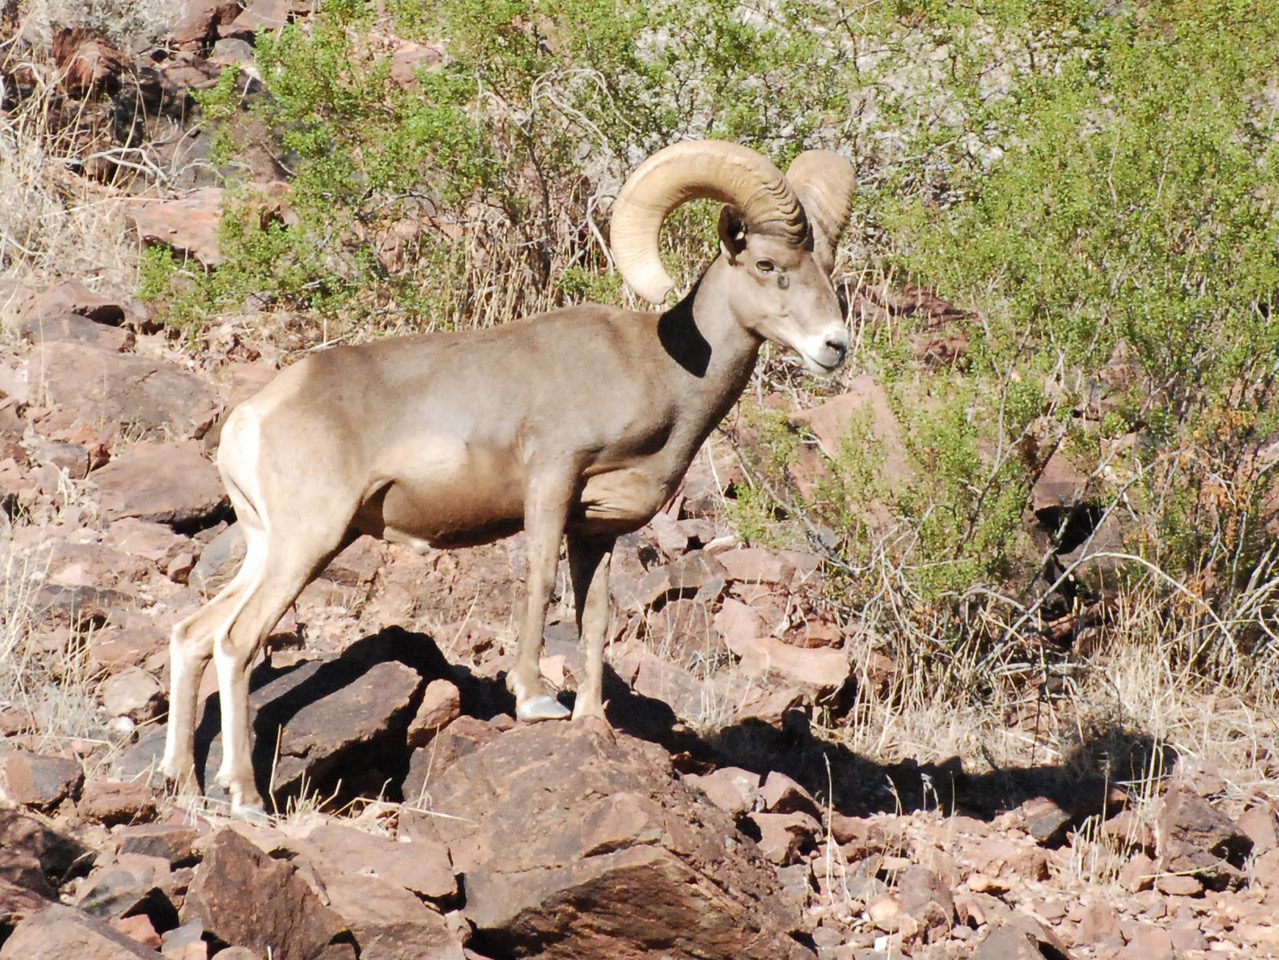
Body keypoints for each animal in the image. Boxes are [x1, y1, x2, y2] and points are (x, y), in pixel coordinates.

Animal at [160, 140, 856, 817]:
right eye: (767, 264)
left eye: (825, 265)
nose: (835, 346)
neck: (663, 371)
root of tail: (252, 417)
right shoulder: (552, 479)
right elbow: (541, 582)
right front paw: (535, 700)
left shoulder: (597, 531)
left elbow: (594, 620)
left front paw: (591, 722)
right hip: (308, 544)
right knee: (236, 642)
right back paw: (245, 799)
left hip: (272, 547)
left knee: (194, 635)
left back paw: (184, 785)